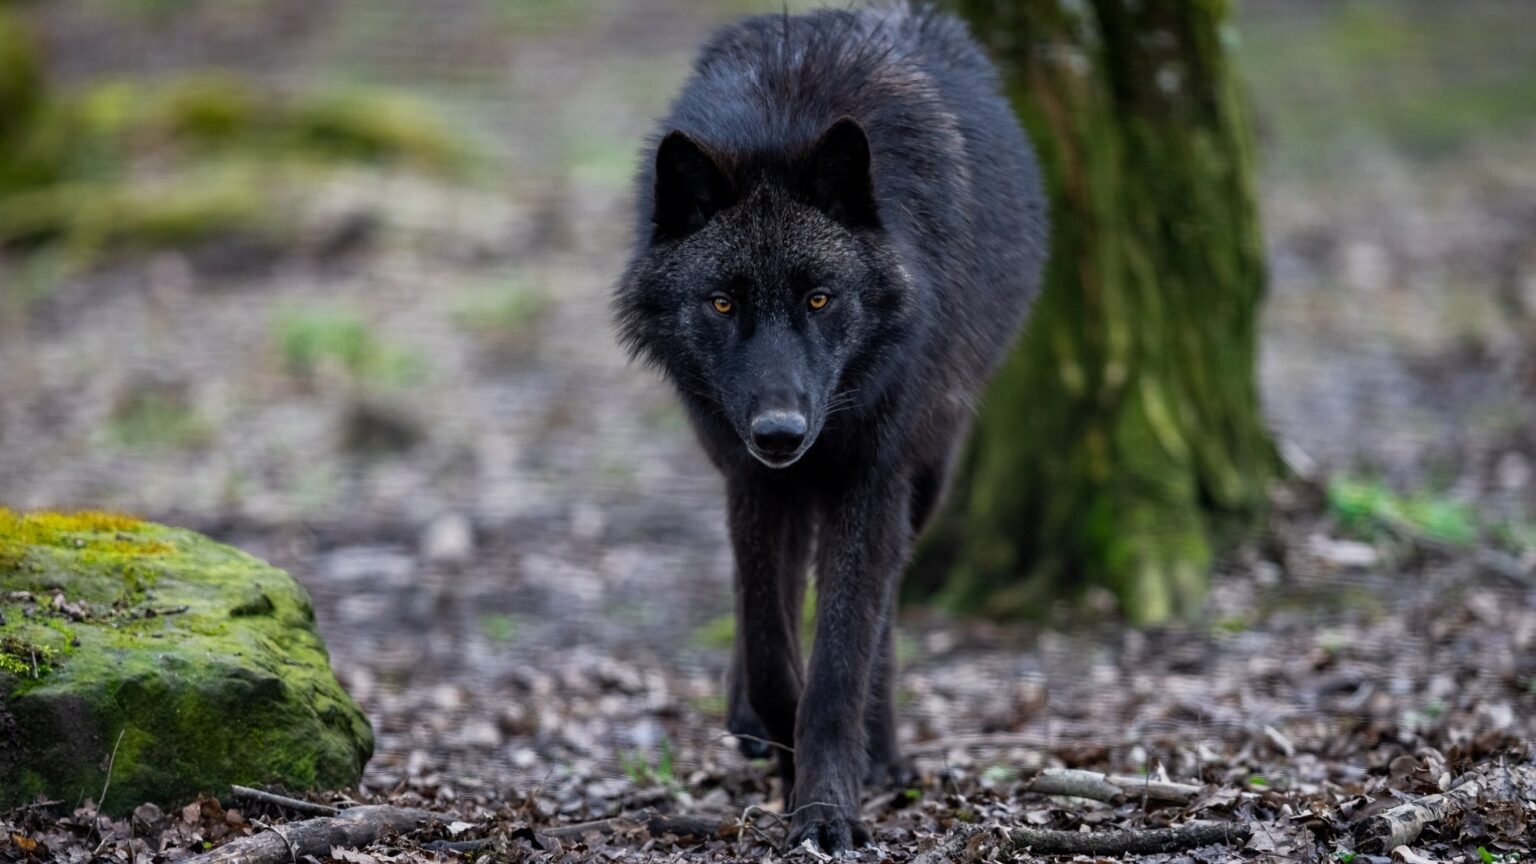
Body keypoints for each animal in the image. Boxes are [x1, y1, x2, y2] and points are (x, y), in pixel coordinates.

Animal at [614, 3, 1047, 852]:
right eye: (723, 302)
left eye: (819, 298)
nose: (782, 431)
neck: (782, 127)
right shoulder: (752, 477)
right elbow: (772, 648)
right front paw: (778, 746)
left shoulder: (871, 477)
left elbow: (841, 659)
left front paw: (825, 807)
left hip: (927, 471)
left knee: (884, 615)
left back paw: (881, 754)